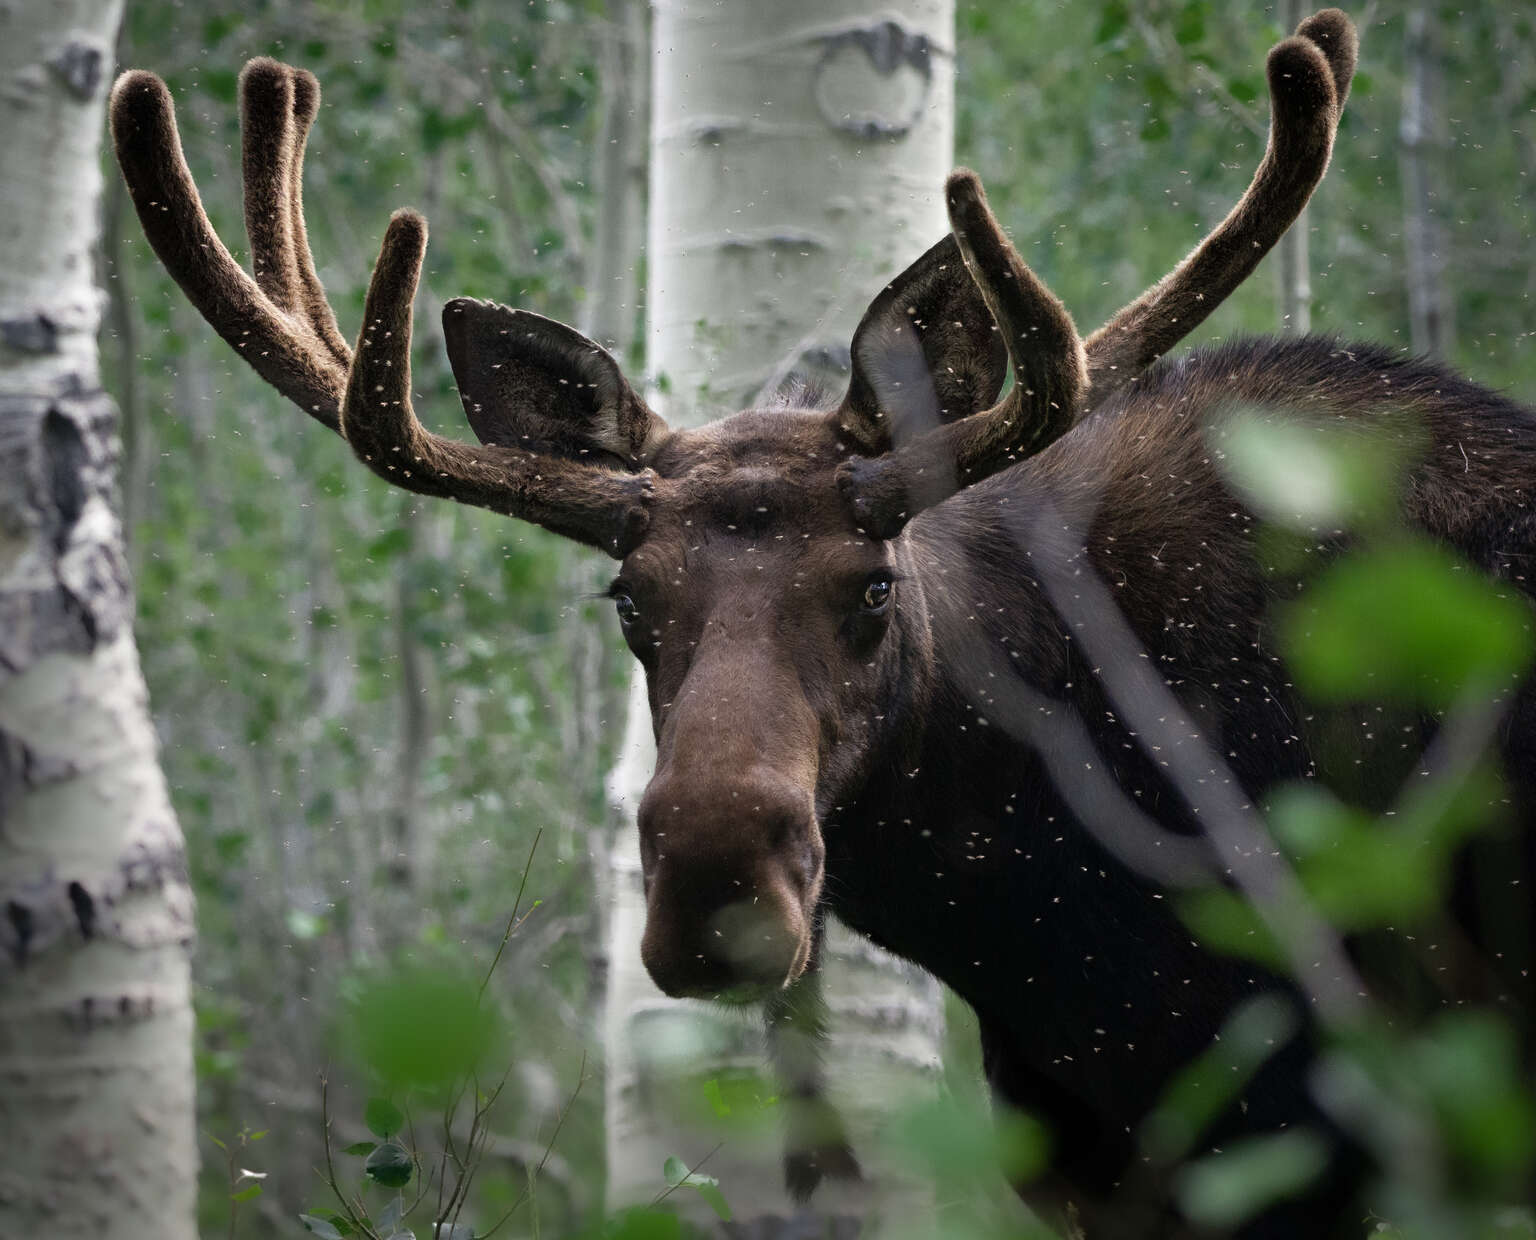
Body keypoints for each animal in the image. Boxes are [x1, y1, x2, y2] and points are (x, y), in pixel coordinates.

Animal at [110, 7, 1536, 1236]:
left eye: (874, 585)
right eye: (629, 598)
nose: (716, 883)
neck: (1074, 937)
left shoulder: (1344, 1110)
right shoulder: (1096, 1156)